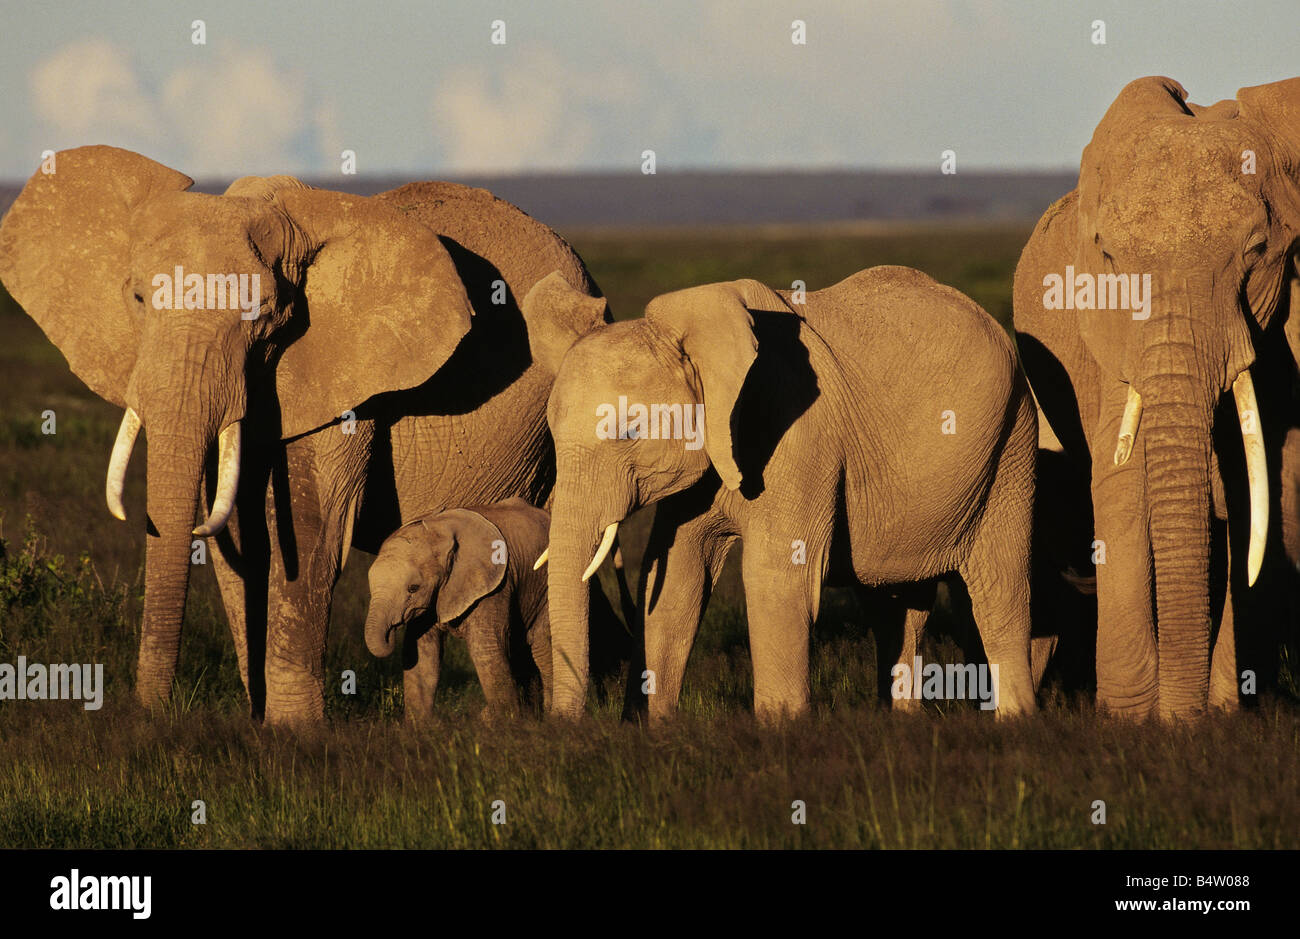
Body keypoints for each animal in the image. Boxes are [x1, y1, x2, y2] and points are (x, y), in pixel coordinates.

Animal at [363, 498, 631, 718]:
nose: (391, 631)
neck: (438, 529)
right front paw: (420, 731)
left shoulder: (493, 585)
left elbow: (486, 650)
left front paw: (501, 722)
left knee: (542, 646)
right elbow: (423, 658)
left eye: (413, 588)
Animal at [532, 265, 1040, 723]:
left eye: (630, 431)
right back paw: (900, 722)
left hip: (1012, 441)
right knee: (895, 603)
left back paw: (1015, 722)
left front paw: (781, 729)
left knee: (999, 586)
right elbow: (677, 576)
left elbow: (776, 573)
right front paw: (651, 729)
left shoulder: (798, 432)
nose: (563, 726)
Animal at [1013, 76, 1300, 721]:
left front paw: (1222, 710)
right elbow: (1122, 478)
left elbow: (1267, 487)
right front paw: (1130, 718)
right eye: (1109, 259)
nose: (1181, 721)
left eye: (1257, 252)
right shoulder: (1105, 332)